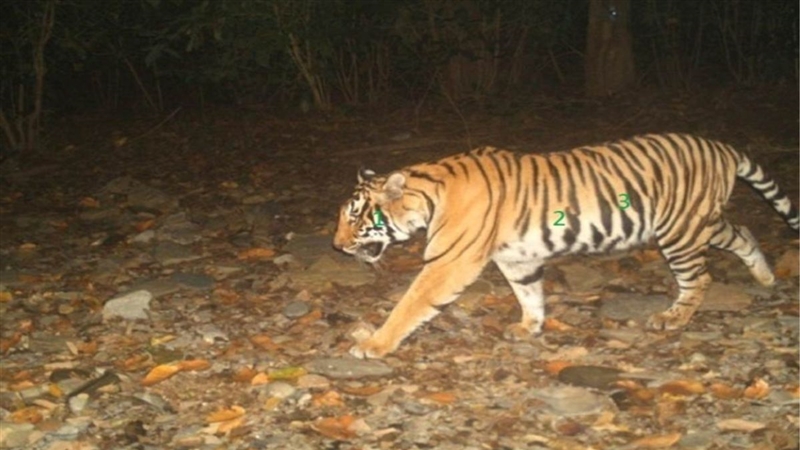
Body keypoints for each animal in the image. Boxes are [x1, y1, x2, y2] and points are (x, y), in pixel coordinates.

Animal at [333, 133, 799, 359]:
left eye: (354, 217)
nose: (336, 247)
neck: (429, 193)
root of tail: (721, 146)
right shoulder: (517, 258)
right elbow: (529, 294)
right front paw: (529, 327)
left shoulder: (450, 262)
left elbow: (411, 304)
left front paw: (373, 345)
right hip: (699, 222)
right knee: (743, 233)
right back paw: (764, 275)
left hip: (680, 232)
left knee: (698, 279)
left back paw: (673, 319)